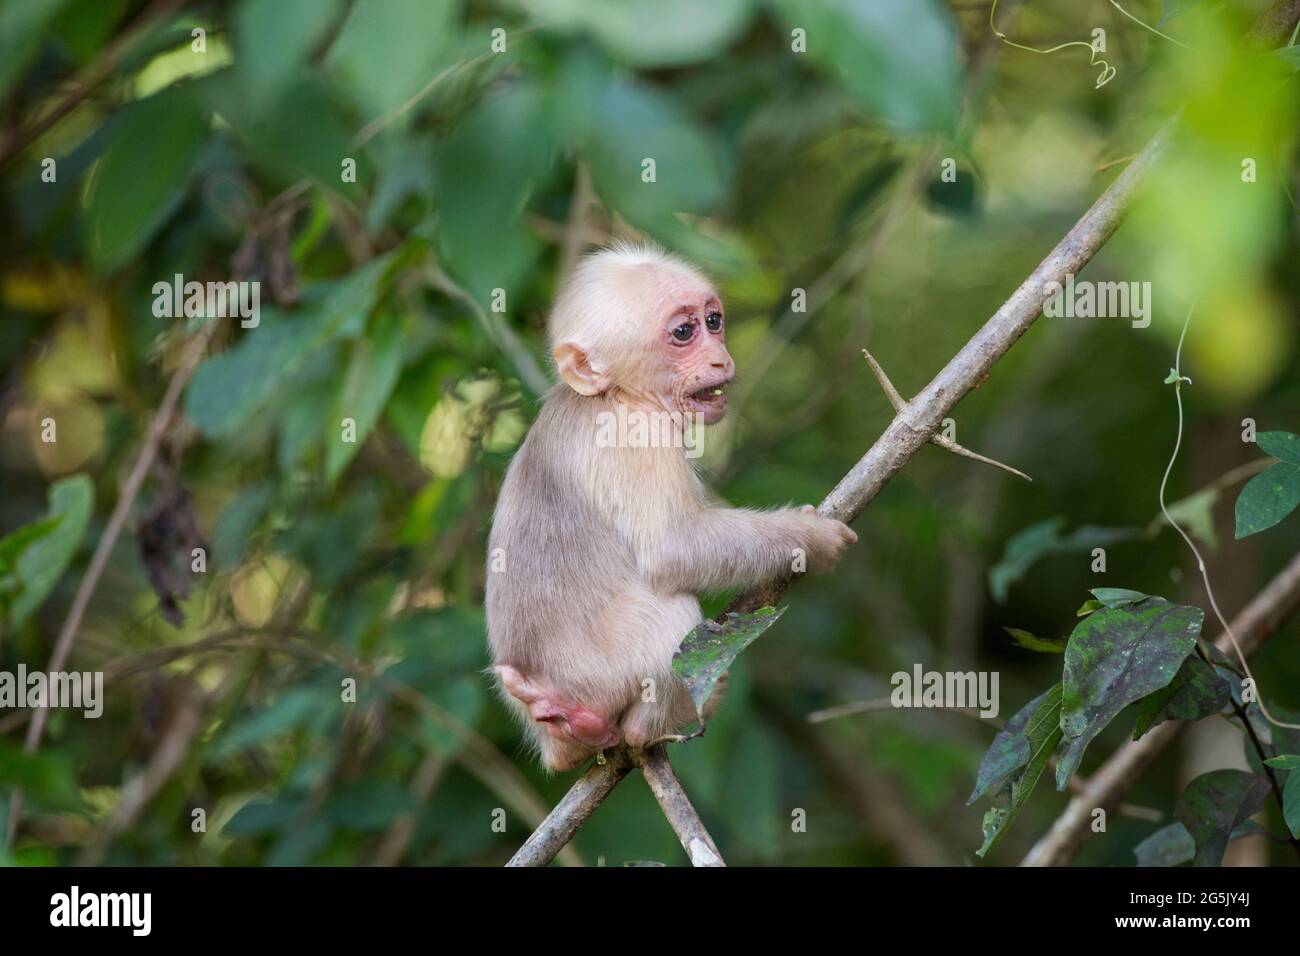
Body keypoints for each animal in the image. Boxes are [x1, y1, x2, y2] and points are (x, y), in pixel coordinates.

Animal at [485, 243, 857, 771]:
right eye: (684, 333)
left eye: (713, 321)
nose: (720, 358)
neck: (615, 394)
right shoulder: (639, 436)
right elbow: (673, 550)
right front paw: (813, 540)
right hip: (600, 672)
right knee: (670, 609)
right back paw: (652, 726)